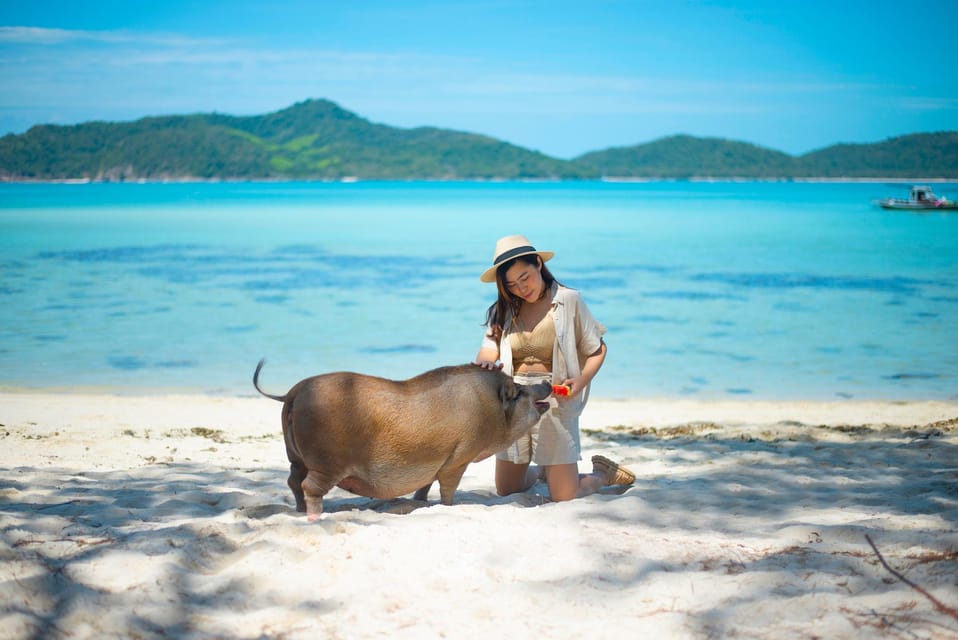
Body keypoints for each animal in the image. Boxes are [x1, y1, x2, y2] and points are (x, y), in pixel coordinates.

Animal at [253, 359, 552, 518]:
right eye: (519, 392)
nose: (547, 383)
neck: (489, 411)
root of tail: (293, 393)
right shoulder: (460, 457)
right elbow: (448, 489)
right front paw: (448, 506)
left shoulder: (437, 459)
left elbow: (426, 484)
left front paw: (420, 503)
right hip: (326, 462)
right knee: (310, 486)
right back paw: (315, 516)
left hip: (295, 457)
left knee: (293, 480)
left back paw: (298, 510)